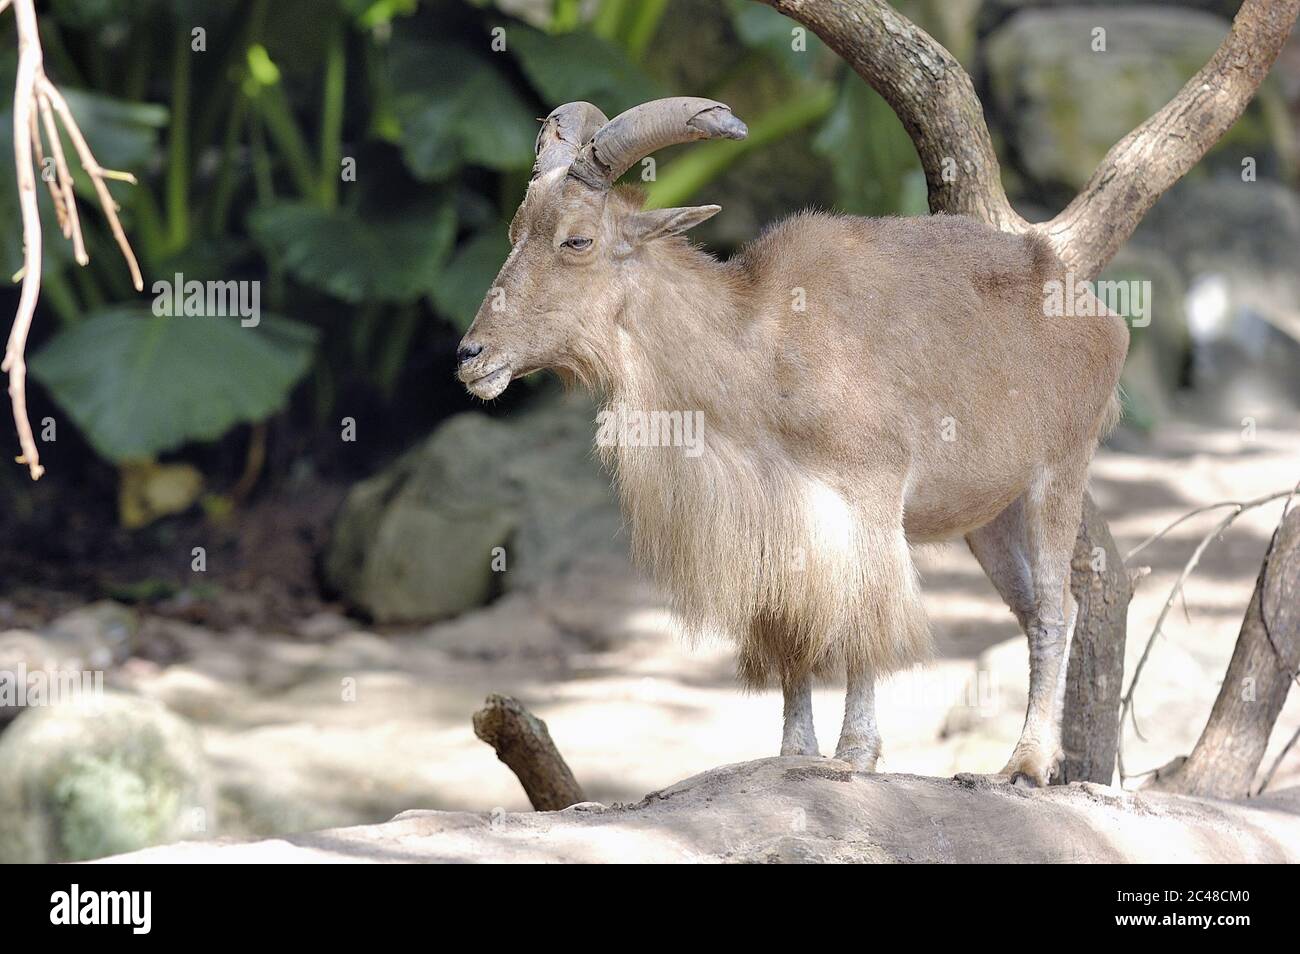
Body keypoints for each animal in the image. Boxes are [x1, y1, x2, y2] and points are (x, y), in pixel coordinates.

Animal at [456, 97, 1128, 785]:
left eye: (577, 240)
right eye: (515, 233)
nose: (470, 356)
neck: (761, 347)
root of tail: (1098, 314)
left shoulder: (868, 502)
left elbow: (865, 623)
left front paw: (855, 753)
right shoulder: (777, 526)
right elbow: (791, 635)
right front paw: (795, 752)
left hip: (1058, 474)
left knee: (1054, 611)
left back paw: (1027, 762)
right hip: (989, 517)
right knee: (1036, 610)